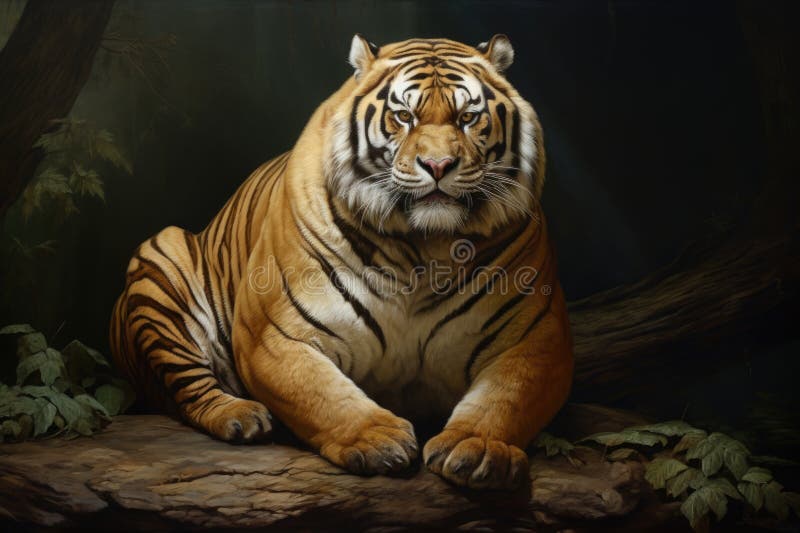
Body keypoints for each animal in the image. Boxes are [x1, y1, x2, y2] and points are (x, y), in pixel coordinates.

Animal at [110, 35, 573, 490]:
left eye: (467, 117)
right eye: (404, 116)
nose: (438, 165)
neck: (425, 247)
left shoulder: (537, 339)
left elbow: (504, 397)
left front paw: (477, 447)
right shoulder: (274, 335)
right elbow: (322, 394)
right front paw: (379, 438)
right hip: (161, 258)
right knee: (188, 389)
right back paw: (241, 417)